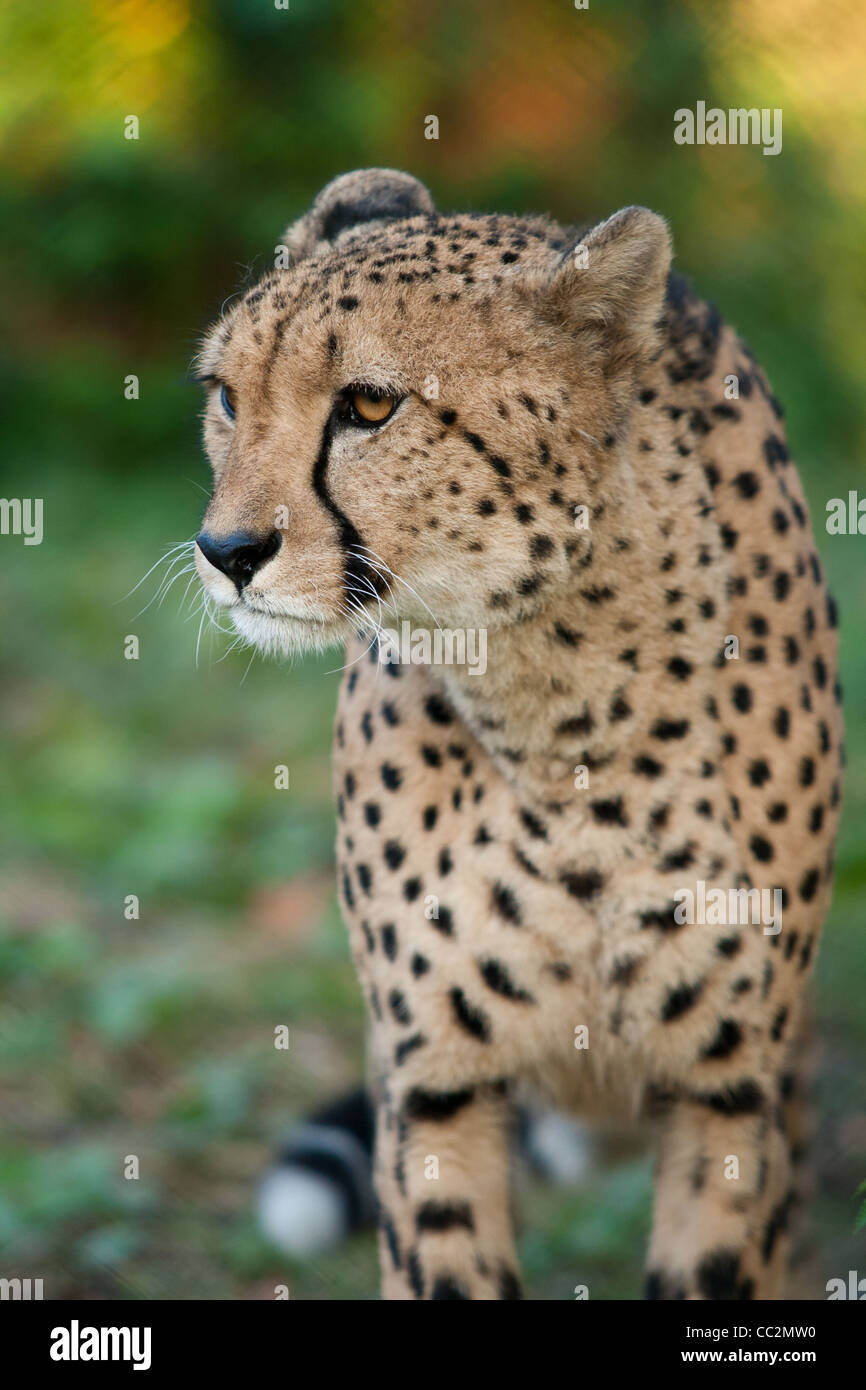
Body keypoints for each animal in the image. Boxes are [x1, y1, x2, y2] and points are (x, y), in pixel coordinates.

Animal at [193, 168, 843, 1300]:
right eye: (228, 396)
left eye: (369, 405)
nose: (226, 551)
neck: (559, 709)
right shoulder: (434, 1085)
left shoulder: (727, 1093)